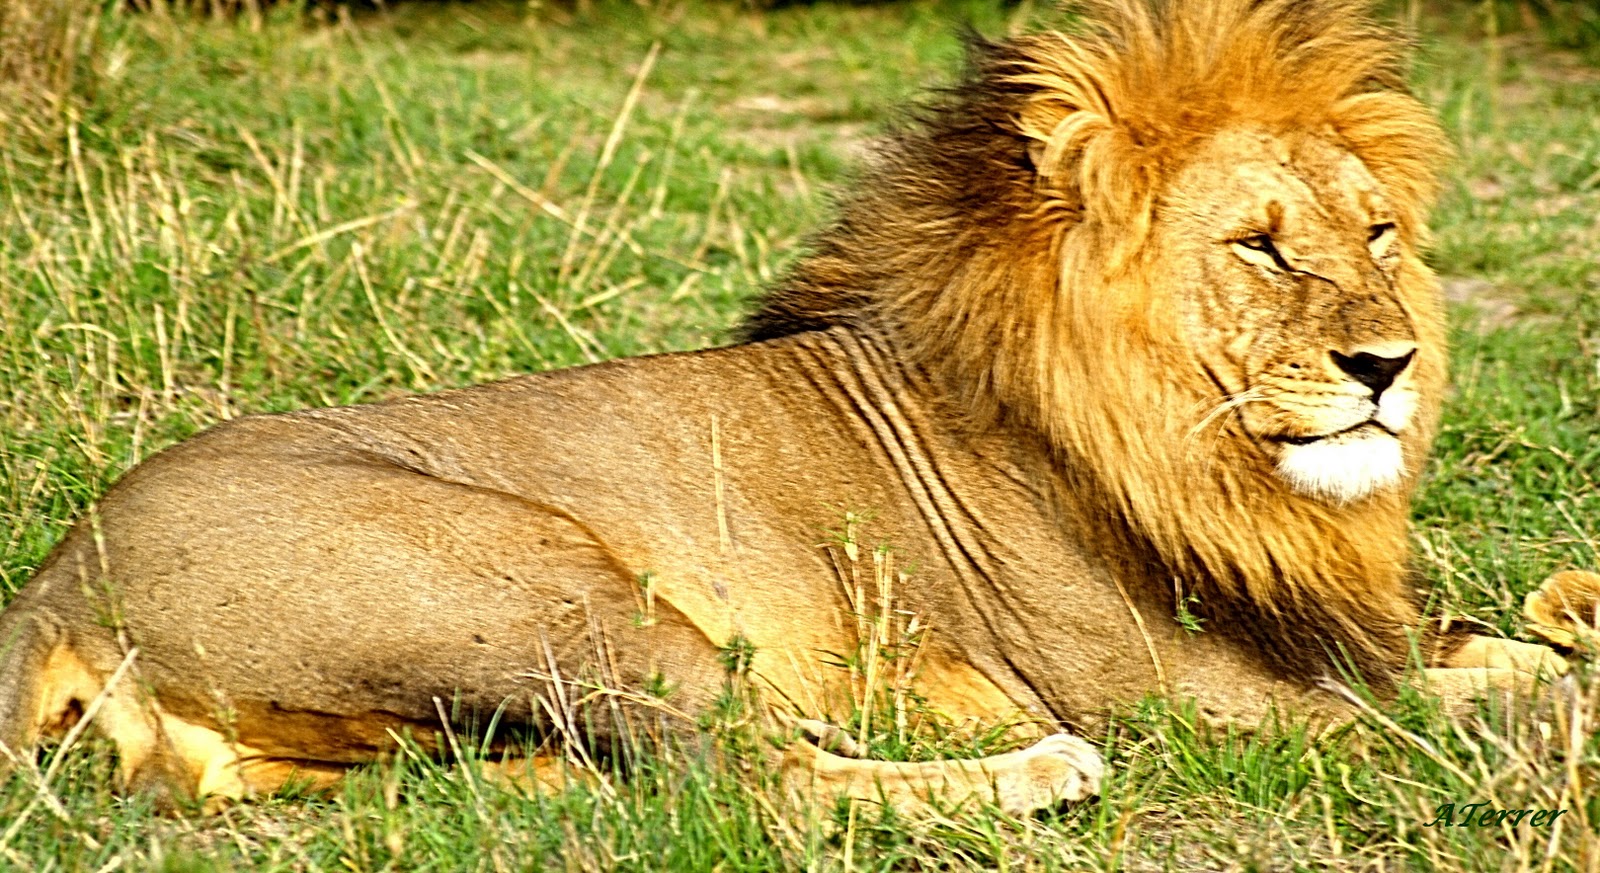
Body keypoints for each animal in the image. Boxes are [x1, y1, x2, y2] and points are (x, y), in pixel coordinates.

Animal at [1, 0, 1596, 817]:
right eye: (1261, 245)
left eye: (1376, 234)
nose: (1390, 362)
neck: (1205, 464)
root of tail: (60, 573)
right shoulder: (1195, 694)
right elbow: (1507, 710)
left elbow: (1516, 653)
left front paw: (1553, 626)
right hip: (560, 589)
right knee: (759, 783)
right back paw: (1034, 770)